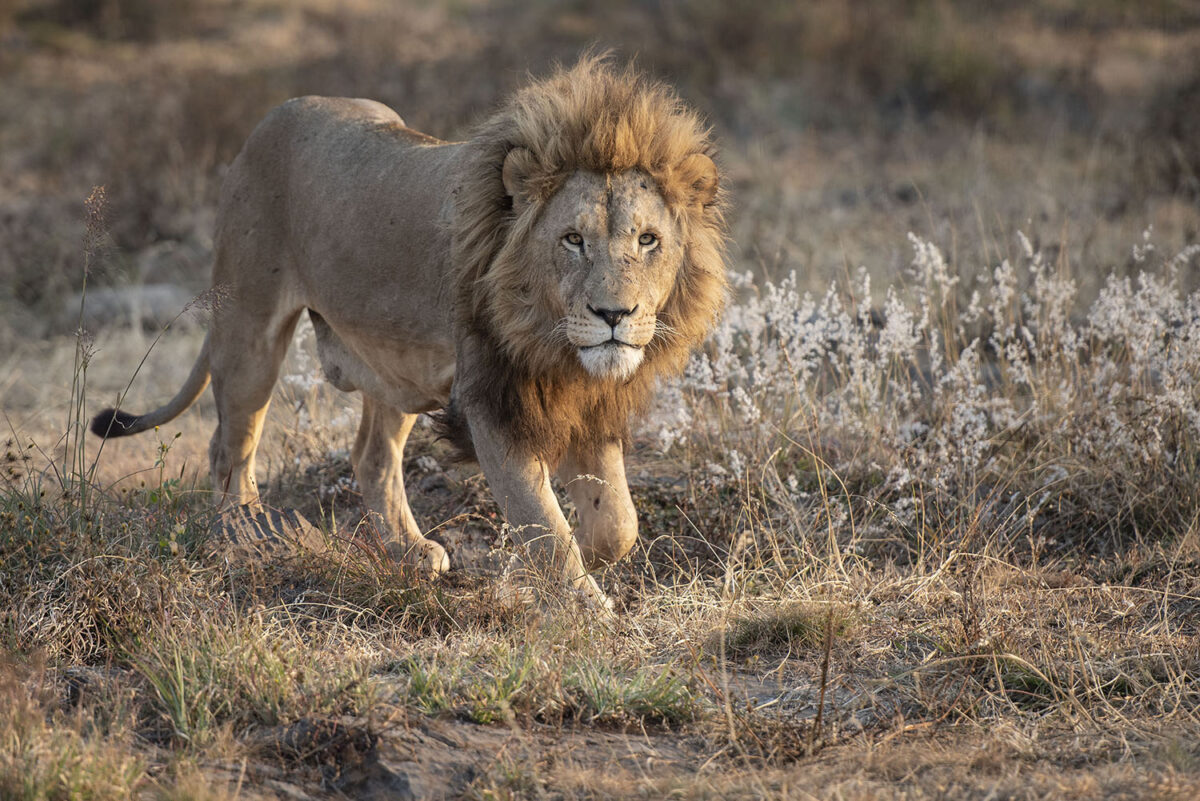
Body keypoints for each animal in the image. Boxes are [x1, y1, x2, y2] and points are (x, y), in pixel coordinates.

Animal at [90, 56, 727, 607]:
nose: (613, 315)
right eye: (573, 239)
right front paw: (588, 616)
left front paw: (581, 566)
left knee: (370, 454)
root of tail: (270, 119)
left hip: (395, 363)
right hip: (249, 328)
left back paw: (407, 549)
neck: (553, 344)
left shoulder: (582, 401)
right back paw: (250, 540)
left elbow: (616, 523)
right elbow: (546, 525)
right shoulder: (492, 404)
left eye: (647, 240)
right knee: (230, 445)